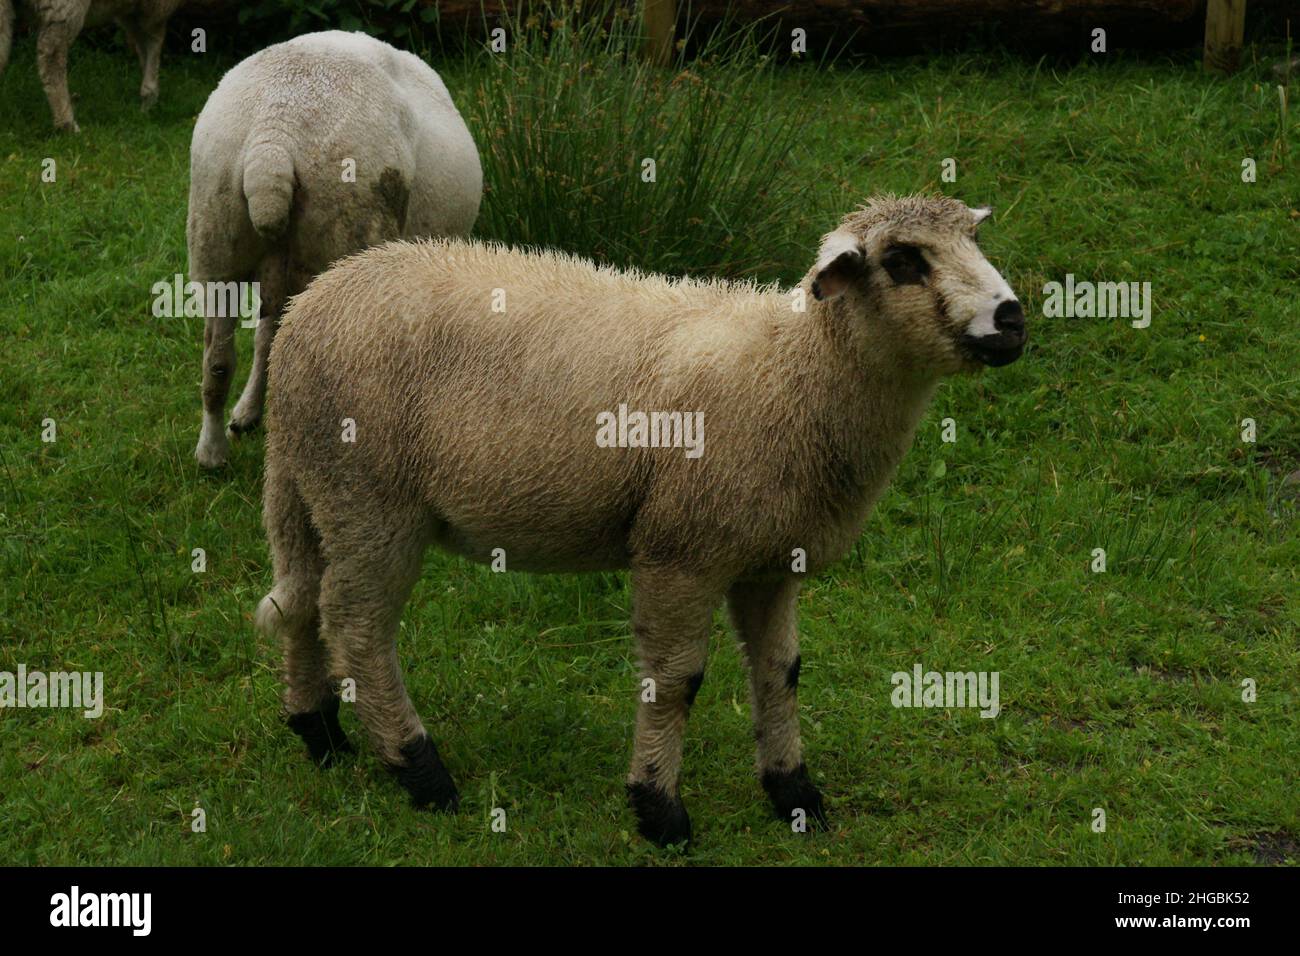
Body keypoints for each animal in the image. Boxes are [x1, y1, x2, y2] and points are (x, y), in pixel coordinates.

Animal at [0, 0, 183, 132]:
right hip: (64, 7)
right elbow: (154, 40)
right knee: (52, 56)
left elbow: (144, 44)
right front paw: (149, 100)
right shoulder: (154, 9)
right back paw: (67, 124)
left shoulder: (135, 11)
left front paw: (146, 102)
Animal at [188, 30, 482, 470]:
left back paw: (212, 452)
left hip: (215, 239)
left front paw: (248, 414)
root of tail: (274, 133)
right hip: (349, 228)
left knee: (218, 360)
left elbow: (266, 340)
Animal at [256, 194, 1028, 846]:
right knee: (357, 626)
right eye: (903, 260)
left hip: (314, 484)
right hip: (370, 496)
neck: (794, 372)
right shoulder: (681, 551)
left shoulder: (772, 560)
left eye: (975, 239)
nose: (1012, 318)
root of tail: (308, 308)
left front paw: (795, 794)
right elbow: (677, 682)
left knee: (302, 601)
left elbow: (781, 672)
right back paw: (419, 769)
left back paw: (319, 733)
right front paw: (659, 810)